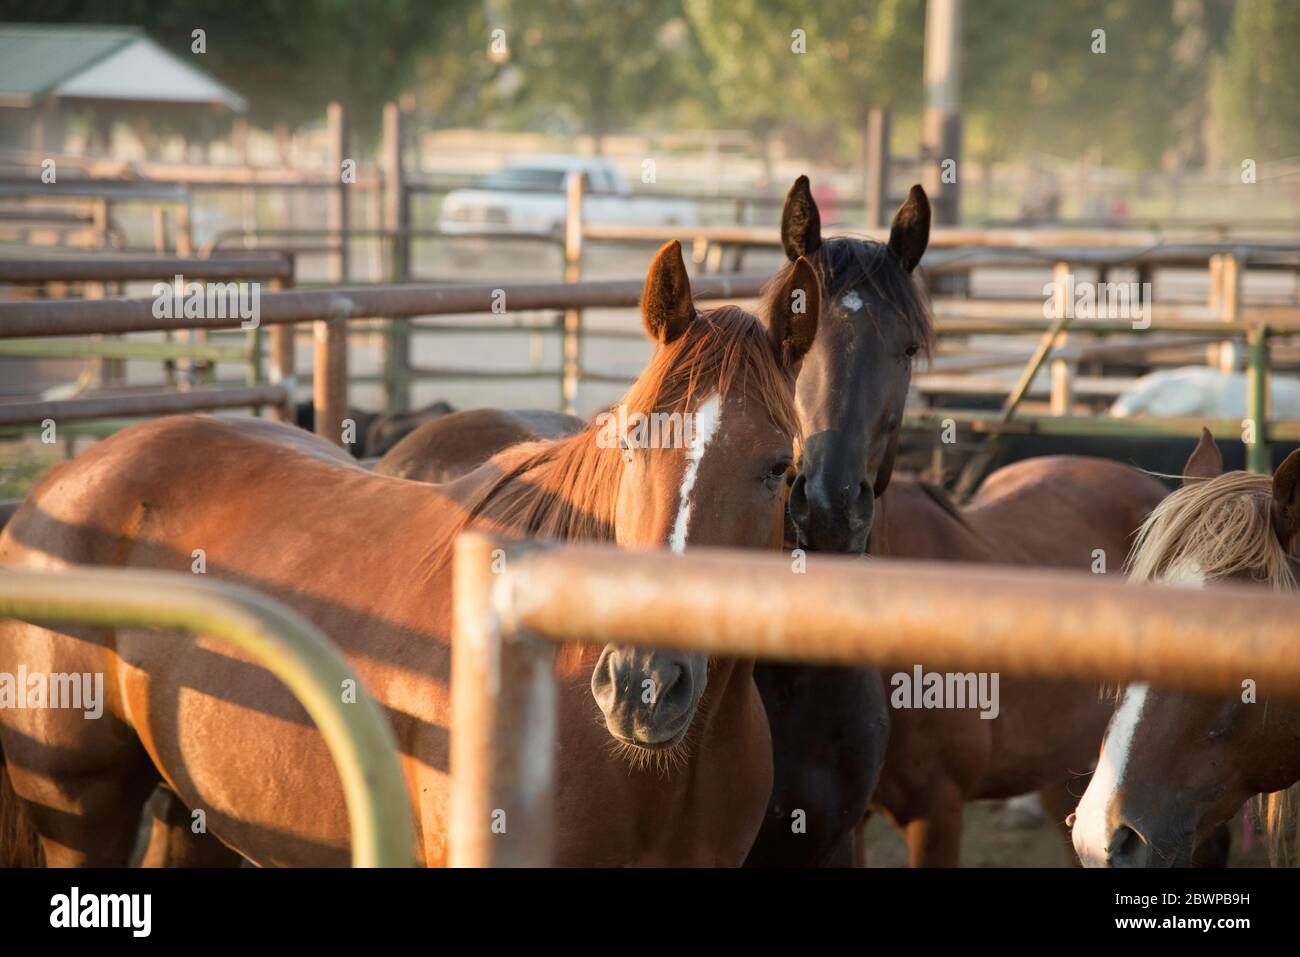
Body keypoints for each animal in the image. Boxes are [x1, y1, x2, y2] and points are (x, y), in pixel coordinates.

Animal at [0, 239, 820, 867]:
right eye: (629, 444)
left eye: (779, 467)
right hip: (79, 812)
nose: (641, 686)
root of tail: (61, 485)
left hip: (192, 807)